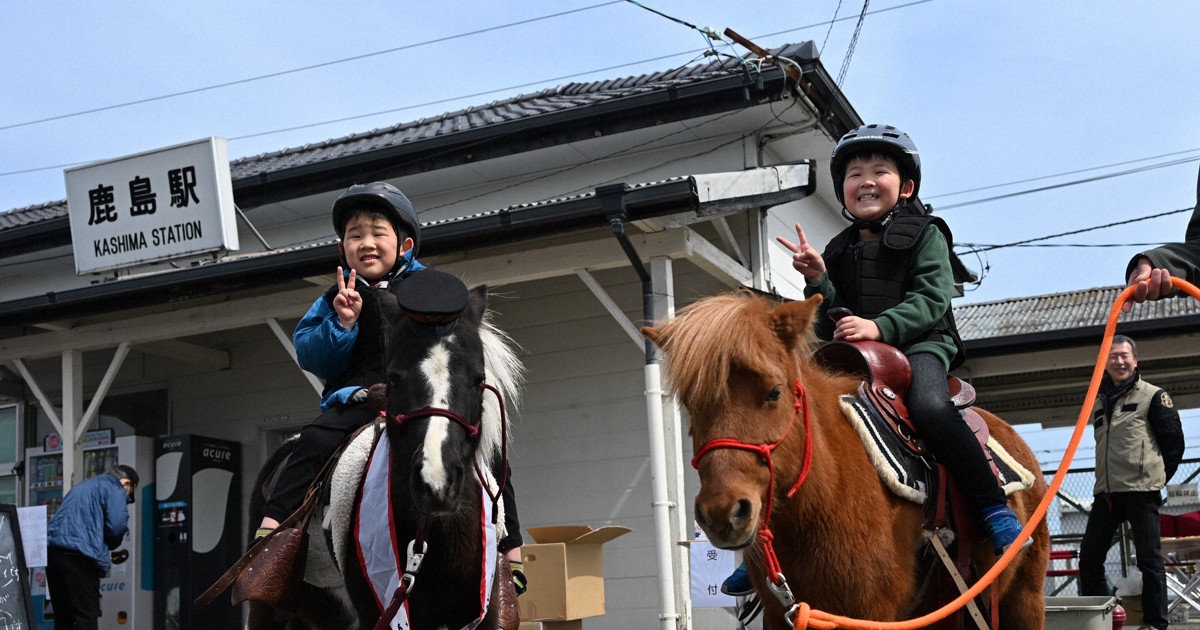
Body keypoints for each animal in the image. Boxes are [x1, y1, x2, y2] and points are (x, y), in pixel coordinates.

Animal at [642, 291, 1050, 629]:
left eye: (774, 392)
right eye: (690, 404)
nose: (723, 512)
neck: (821, 504)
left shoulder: (871, 613)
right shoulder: (783, 616)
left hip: (1024, 600)